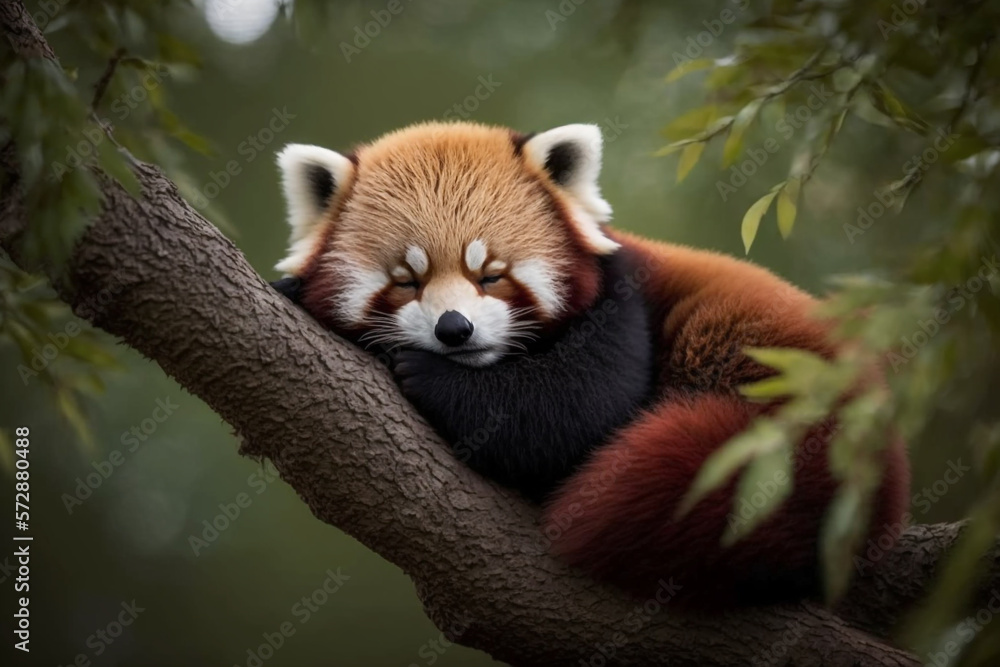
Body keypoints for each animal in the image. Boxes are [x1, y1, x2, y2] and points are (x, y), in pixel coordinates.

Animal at [268, 121, 910, 607]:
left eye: (491, 275)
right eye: (406, 281)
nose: (454, 330)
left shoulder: (624, 303)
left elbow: (575, 415)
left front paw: (424, 372)